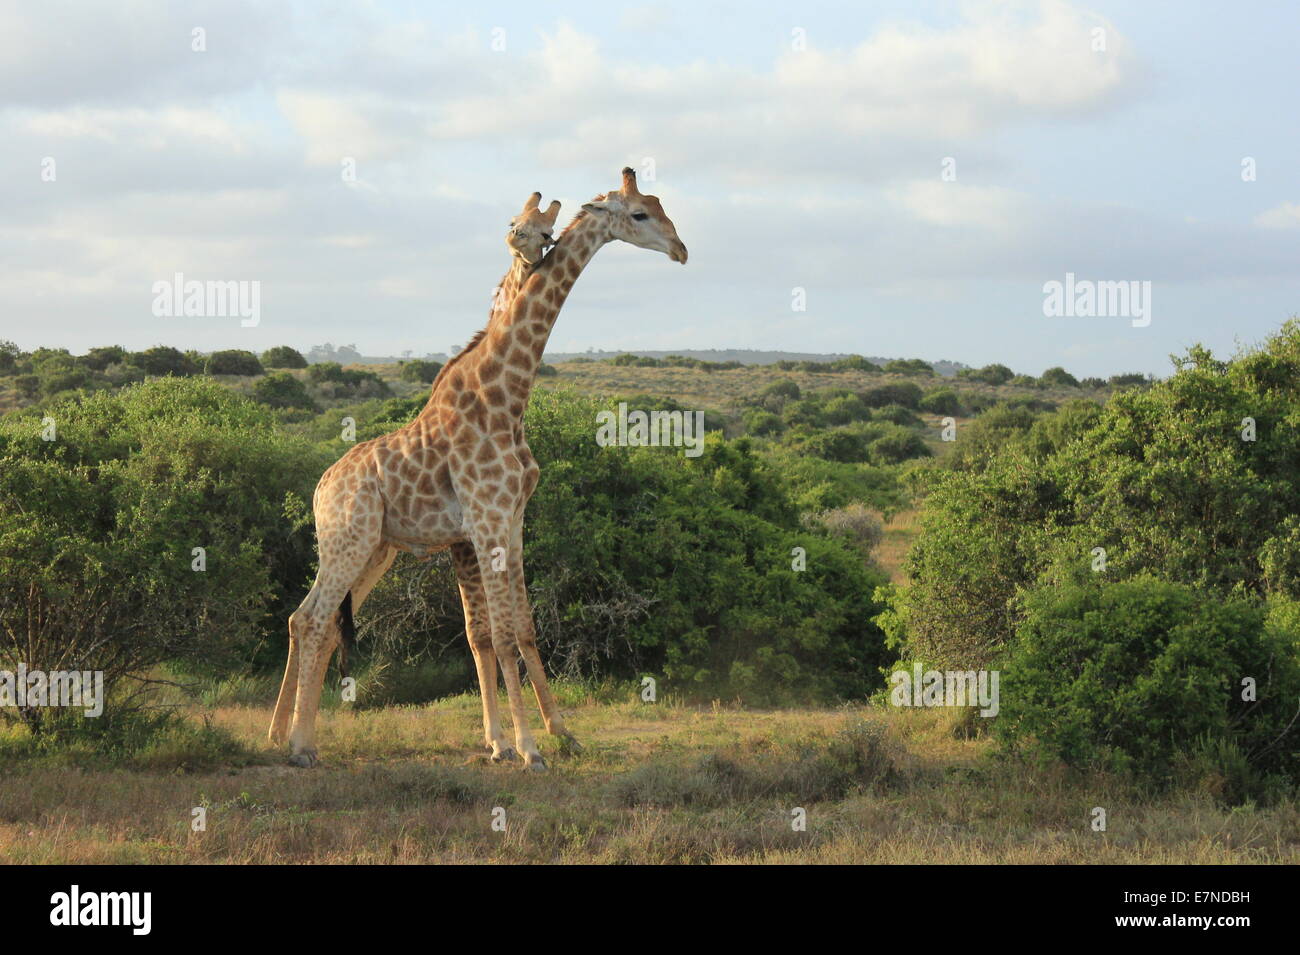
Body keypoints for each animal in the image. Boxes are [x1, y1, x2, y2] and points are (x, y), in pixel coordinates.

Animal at [269, 168, 687, 770]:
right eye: (639, 214)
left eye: (659, 205)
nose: (681, 249)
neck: (507, 399)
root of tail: (322, 486)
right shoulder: (485, 522)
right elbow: (502, 634)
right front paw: (527, 748)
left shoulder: (511, 522)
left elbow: (524, 629)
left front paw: (558, 735)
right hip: (348, 539)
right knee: (315, 618)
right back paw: (300, 746)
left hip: (374, 548)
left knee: (308, 621)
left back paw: (284, 735)